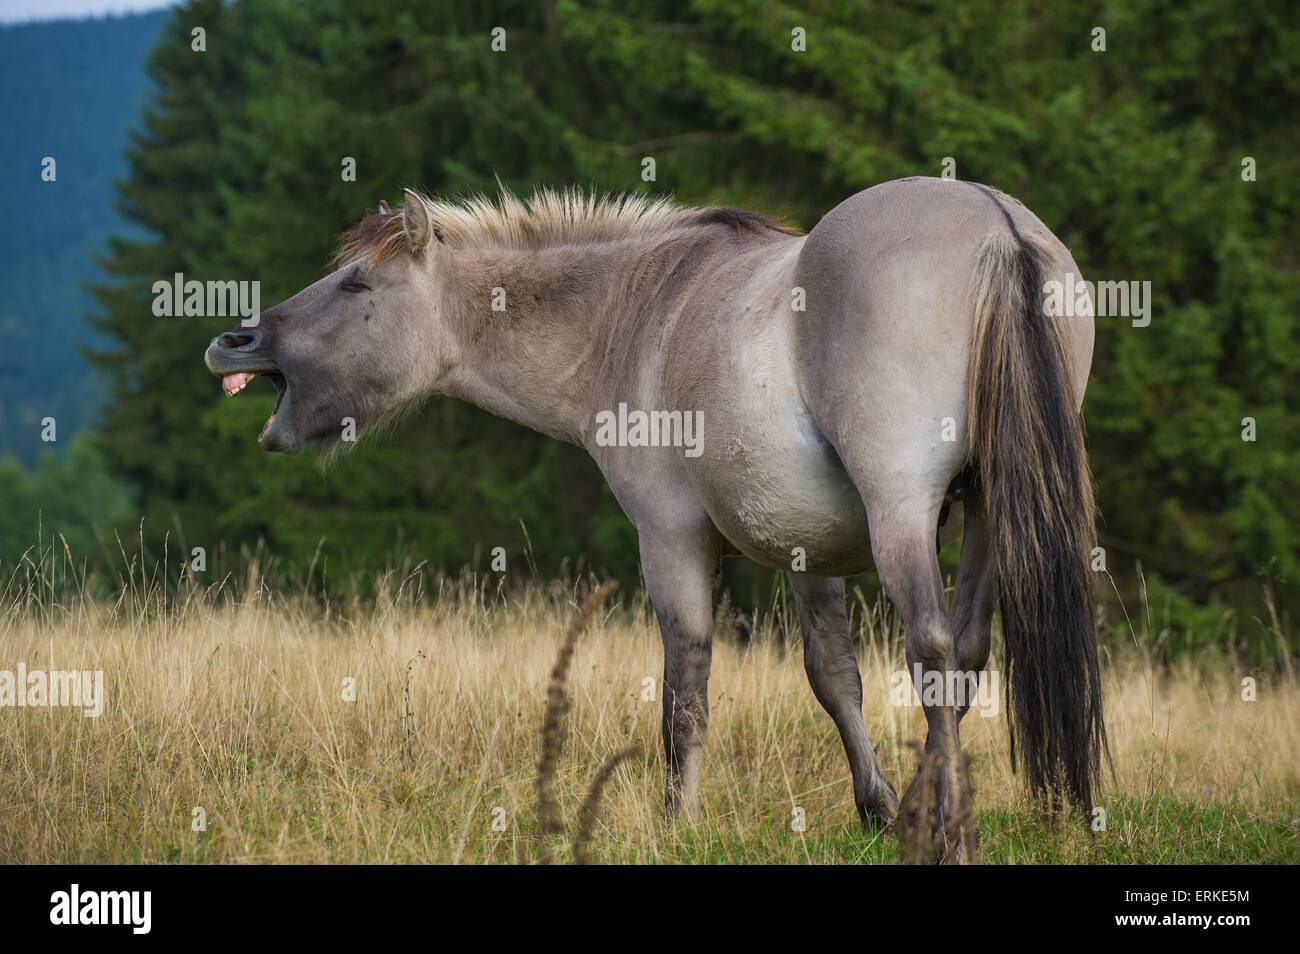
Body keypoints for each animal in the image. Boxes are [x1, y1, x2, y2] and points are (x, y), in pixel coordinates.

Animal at [205, 177, 1107, 859]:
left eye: (355, 284)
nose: (235, 340)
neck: (636, 314)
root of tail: (997, 227)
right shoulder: (807, 554)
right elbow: (834, 676)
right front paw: (878, 805)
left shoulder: (670, 538)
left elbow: (687, 681)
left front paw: (679, 819)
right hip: (988, 516)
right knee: (967, 652)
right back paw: (932, 807)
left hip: (903, 515)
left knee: (933, 645)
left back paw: (948, 834)